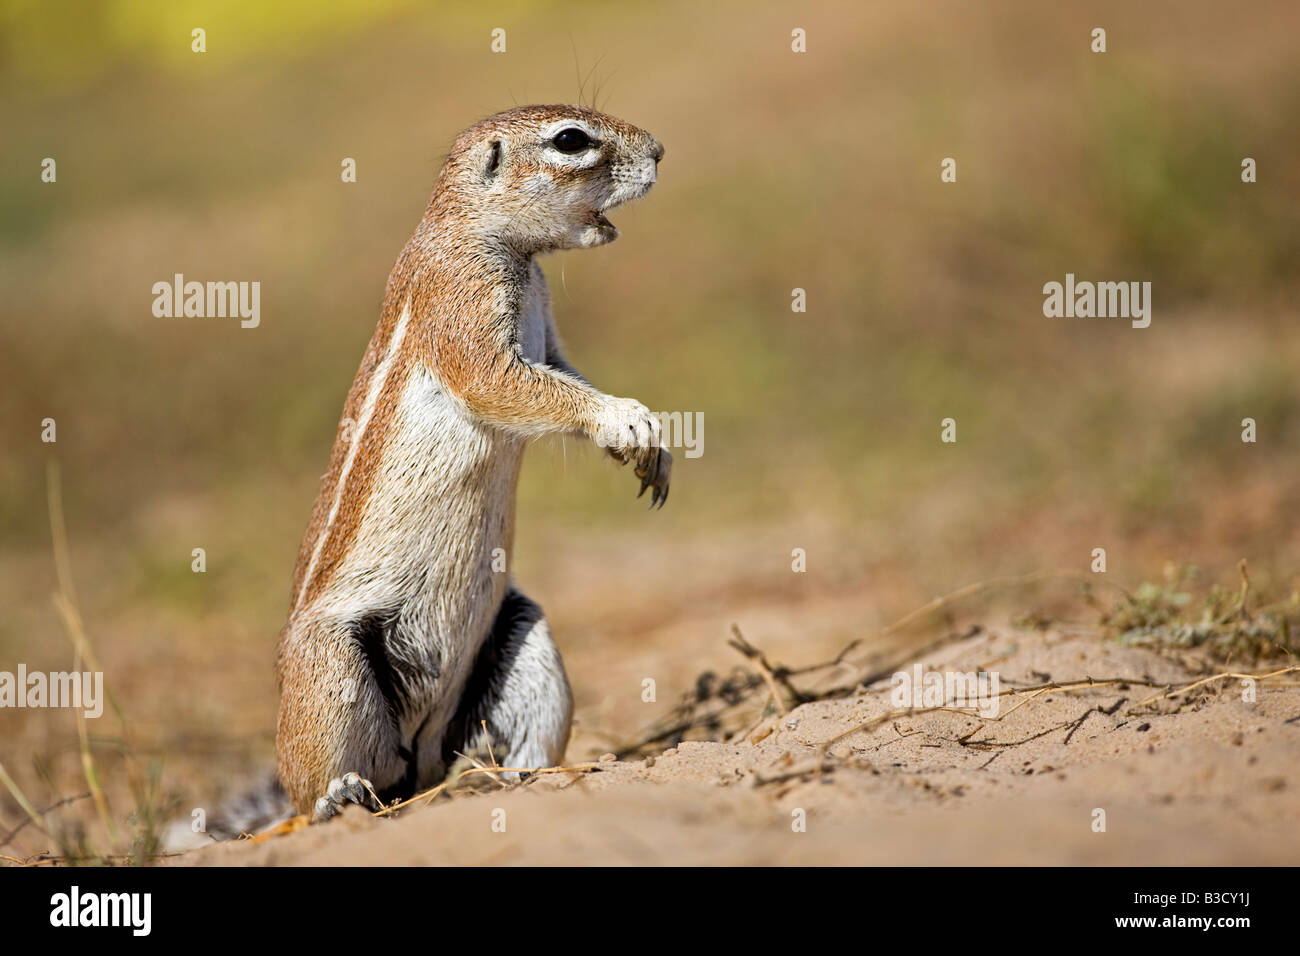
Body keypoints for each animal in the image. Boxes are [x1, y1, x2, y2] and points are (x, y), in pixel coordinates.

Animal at [194, 104, 673, 833]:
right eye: (570, 140)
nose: (661, 151)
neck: (475, 230)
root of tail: (415, 763)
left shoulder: (549, 338)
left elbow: (565, 372)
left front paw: (652, 453)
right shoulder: (464, 307)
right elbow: (509, 385)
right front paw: (625, 420)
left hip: (523, 634)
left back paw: (516, 776)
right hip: (327, 668)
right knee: (312, 790)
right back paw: (340, 798)